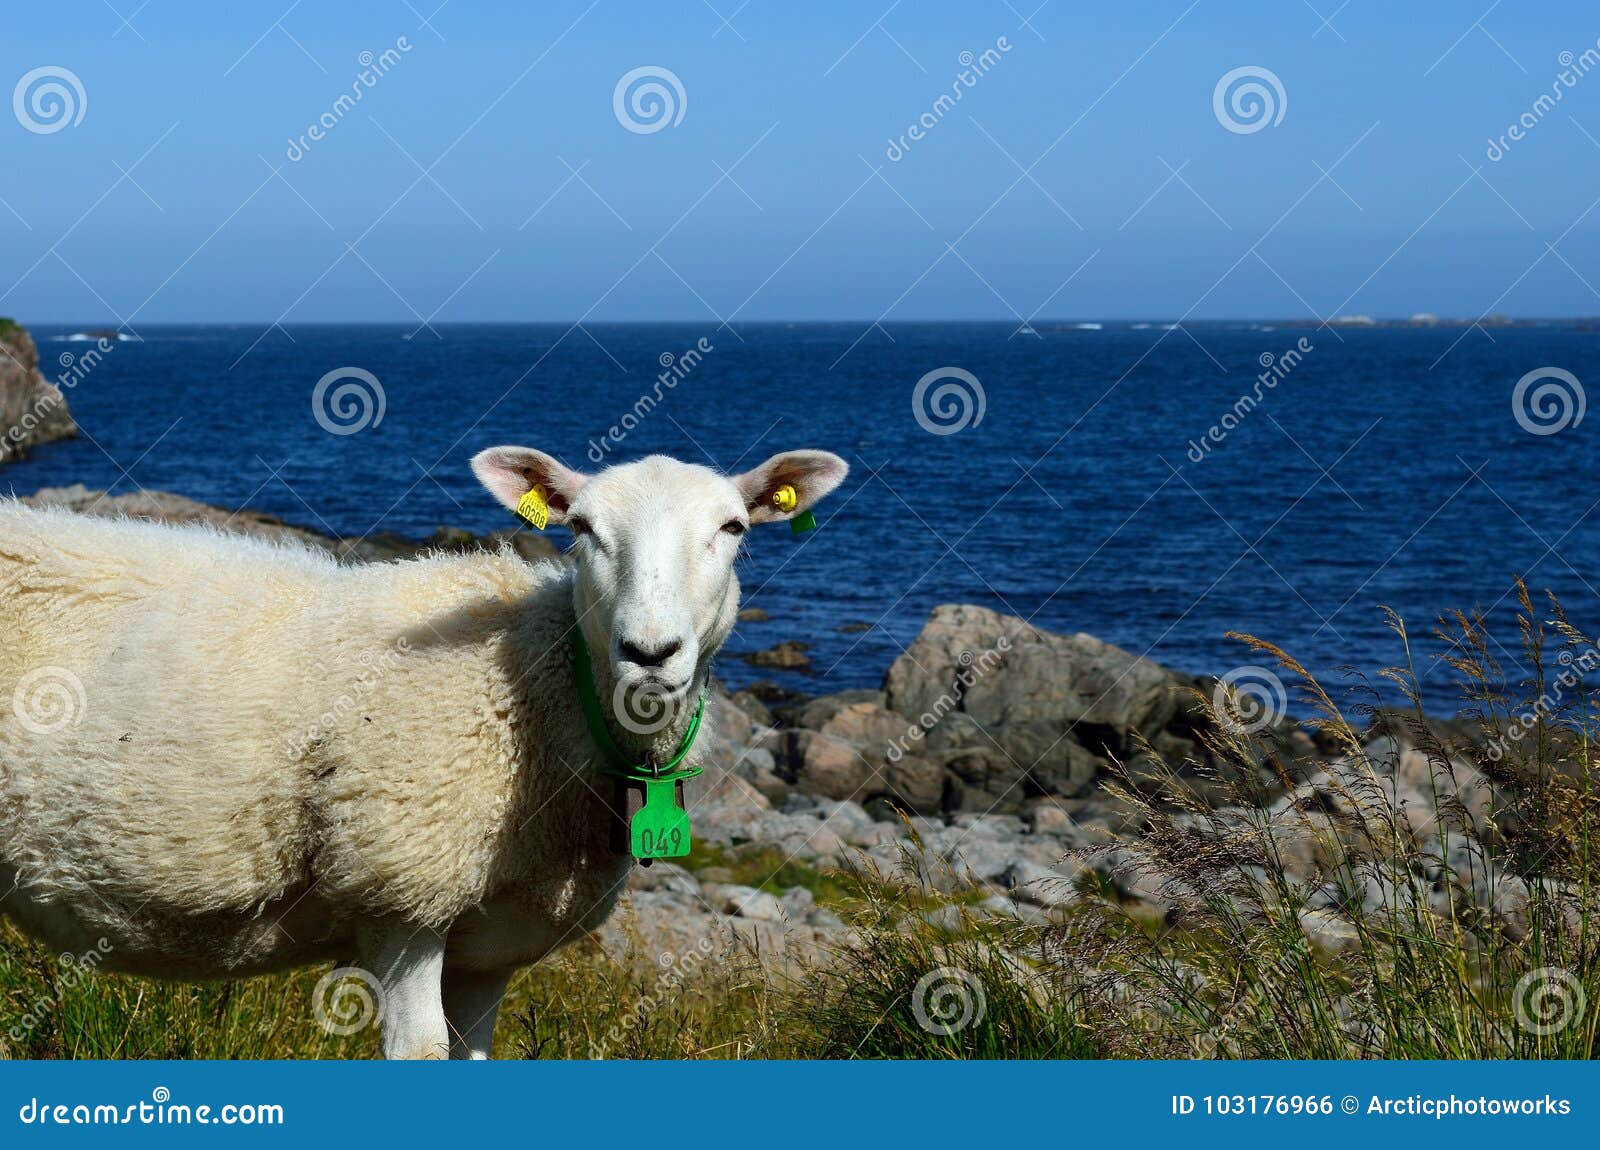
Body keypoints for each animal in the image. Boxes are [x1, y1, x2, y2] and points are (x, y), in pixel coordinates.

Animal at [0, 446, 848, 1058]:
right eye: (580, 528)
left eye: (734, 528)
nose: (650, 653)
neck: (534, 684)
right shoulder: (401, 889)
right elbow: (421, 1052)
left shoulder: (490, 943)